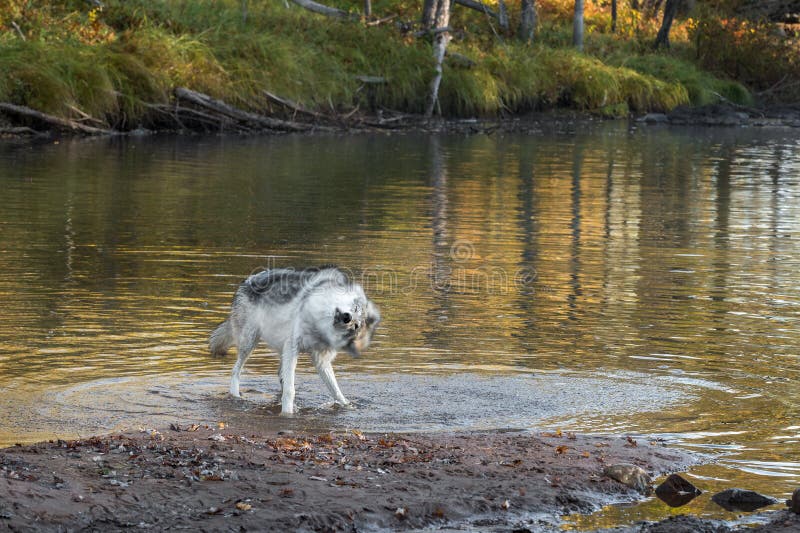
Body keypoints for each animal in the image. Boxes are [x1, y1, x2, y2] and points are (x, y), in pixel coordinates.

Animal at [209, 266, 380, 415]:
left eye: (356, 326)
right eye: (355, 308)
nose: (347, 317)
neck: (319, 326)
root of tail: (247, 280)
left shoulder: (320, 361)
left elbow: (336, 390)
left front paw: (348, 406)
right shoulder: (292, 347)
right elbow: (291, 390)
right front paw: (287, 413)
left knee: (279, 374)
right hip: (250, 342)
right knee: (235, 371)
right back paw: (236, 396)